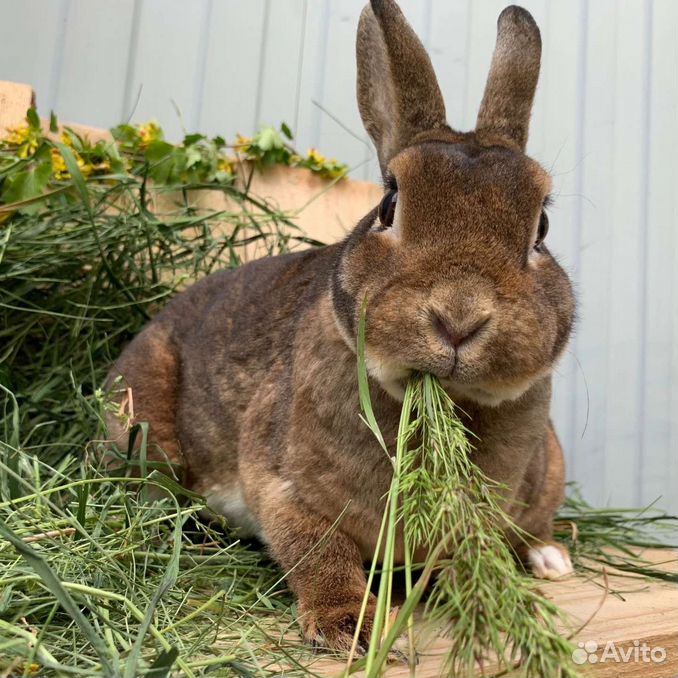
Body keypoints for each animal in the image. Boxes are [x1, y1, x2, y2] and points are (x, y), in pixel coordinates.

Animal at [106, 0, 575, 654]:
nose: (459, 317)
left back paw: (550, 558)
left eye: (543, 230)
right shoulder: (282, 488)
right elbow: (317, 552)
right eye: (389, 205)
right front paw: (349, 628)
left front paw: (499, 607)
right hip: (140, 421)